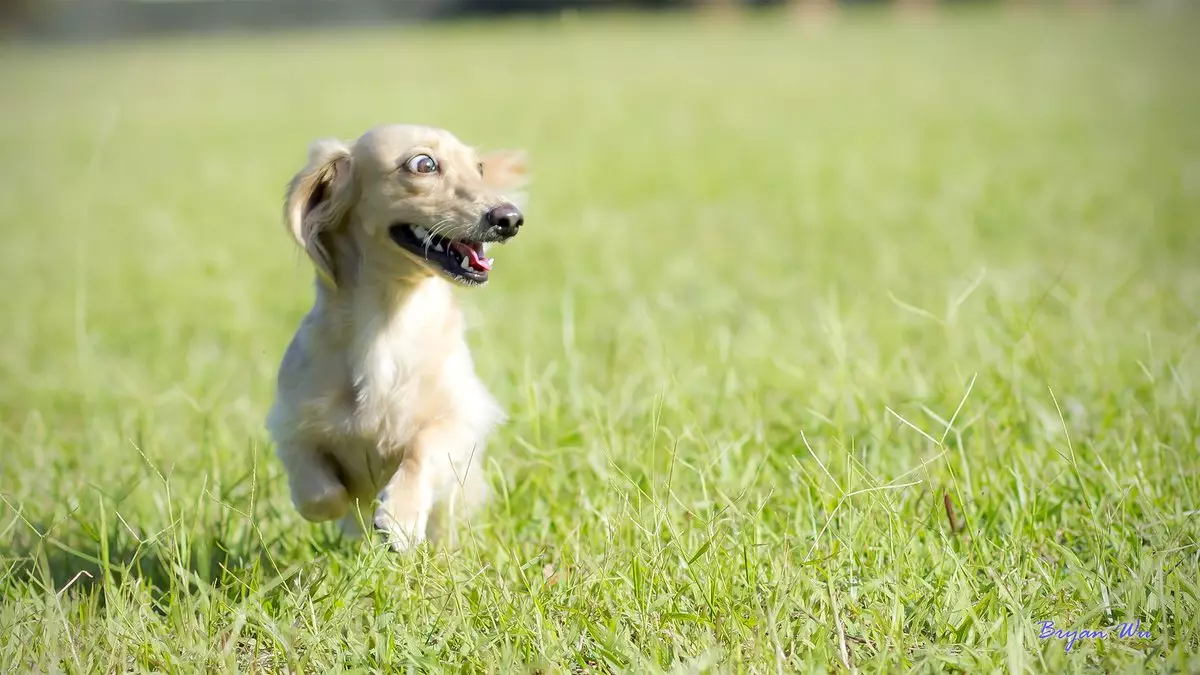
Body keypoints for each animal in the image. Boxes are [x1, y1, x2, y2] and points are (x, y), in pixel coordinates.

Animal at [267, 123, 530, 550]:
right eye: (424, 164)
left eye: (478, 168)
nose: (510, 218)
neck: (387, 324)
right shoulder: (289, 423)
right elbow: (317, 493)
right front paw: (349, 502)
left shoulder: (462, 417)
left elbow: (424, 447)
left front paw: (400, 518)